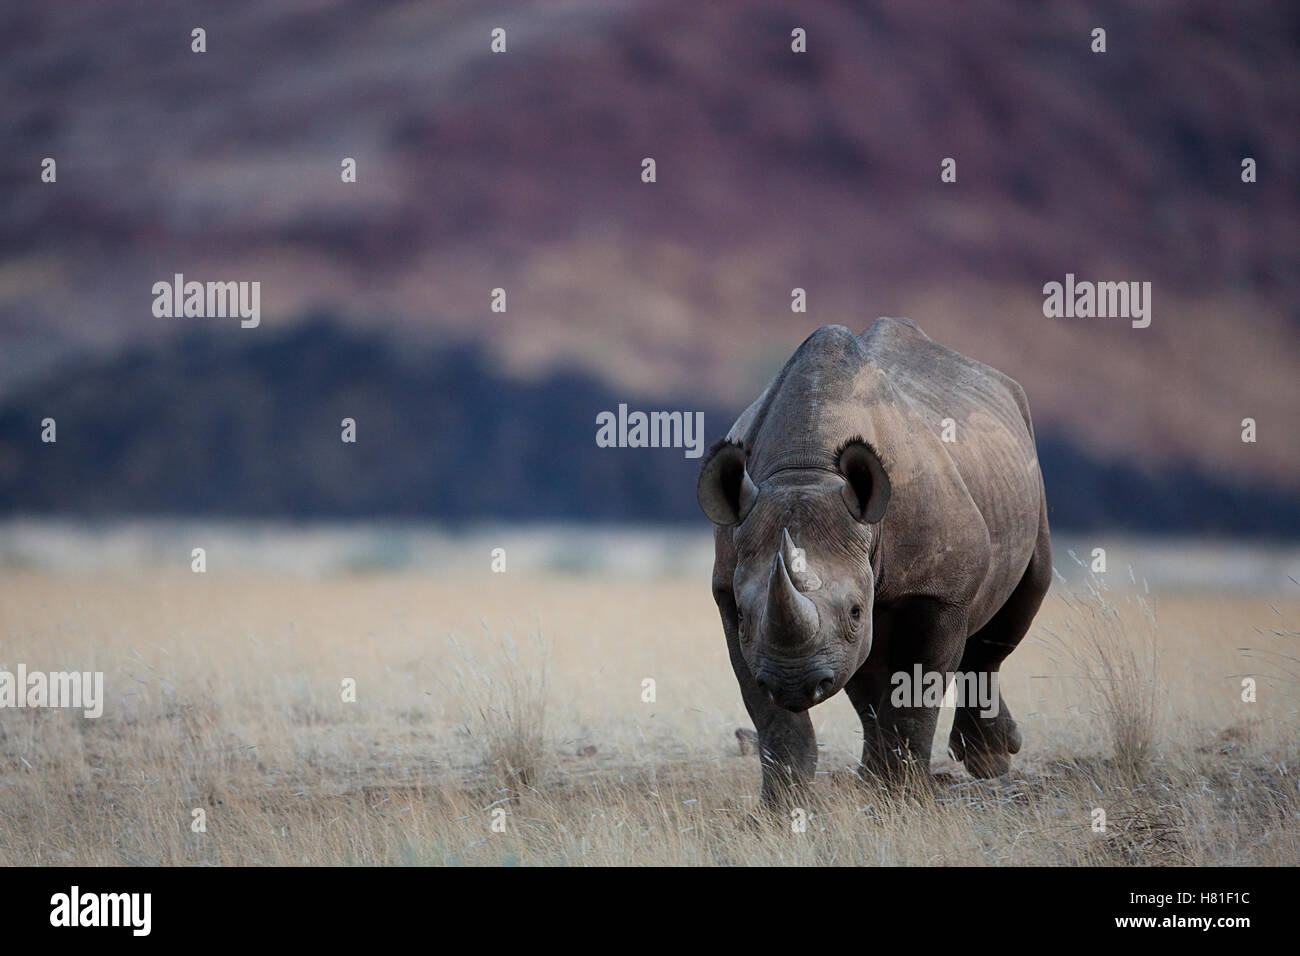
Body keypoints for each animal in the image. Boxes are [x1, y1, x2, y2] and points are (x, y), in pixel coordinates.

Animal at [698, 318, 1051, 806]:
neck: (806, 469)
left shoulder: (941, 592)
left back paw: (987, 763)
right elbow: (769, 711)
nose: (794, 684)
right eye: (746, 617)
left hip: (1023, 457)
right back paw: (874, 776)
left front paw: (905, 799)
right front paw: (782, 805)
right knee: (867, 669)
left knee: (1023, 599)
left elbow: (917, 691)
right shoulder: (730, 591)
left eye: (853, 611)